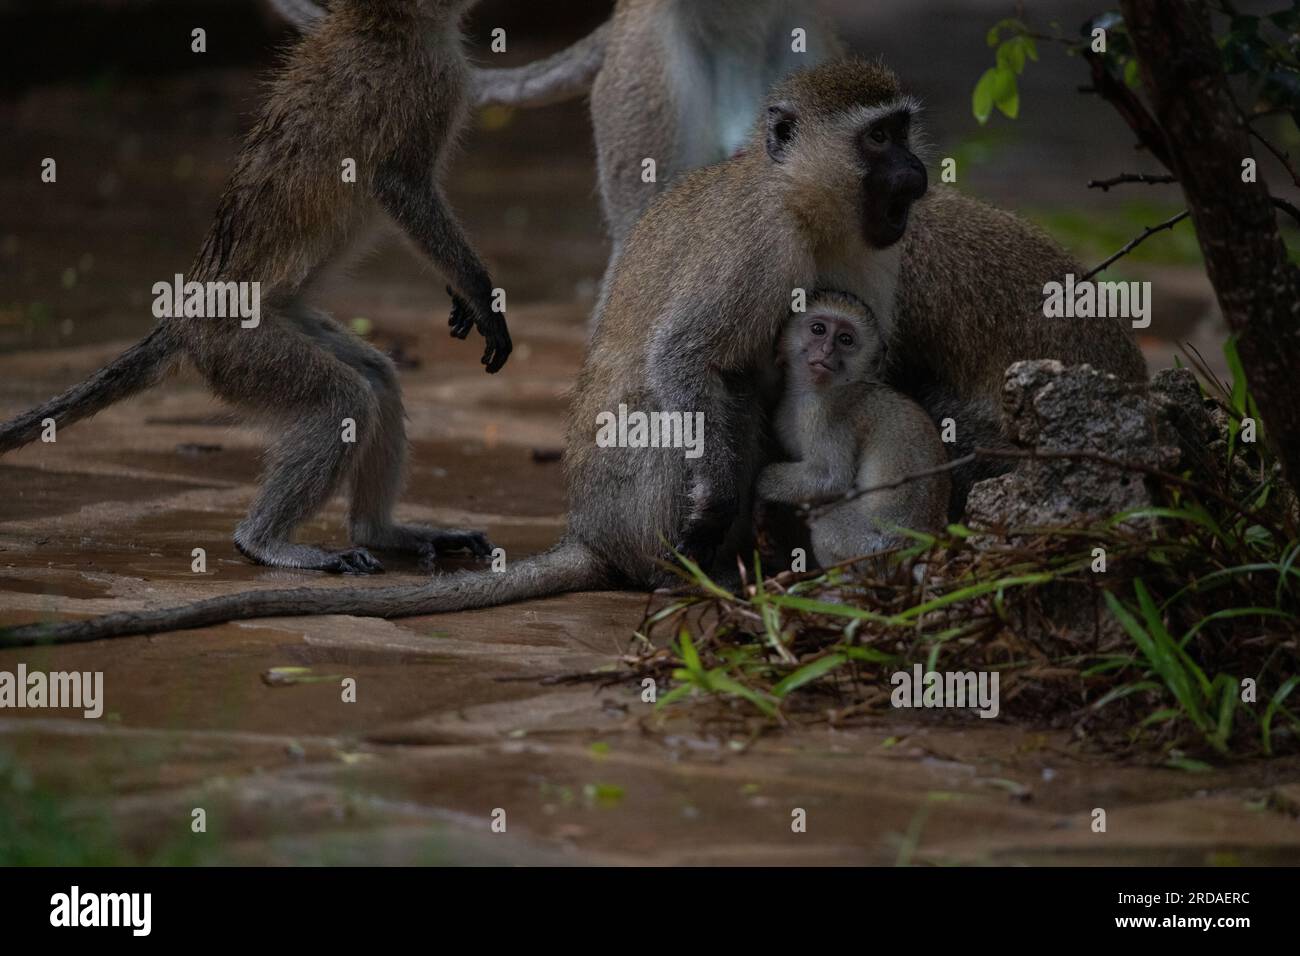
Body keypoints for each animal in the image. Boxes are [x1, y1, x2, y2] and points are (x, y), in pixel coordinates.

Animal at [0, 0, 511, 575]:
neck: (385, 24)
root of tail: (187, 317)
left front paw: (464, 298)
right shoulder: (427, 87)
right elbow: (403, 187)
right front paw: (481, 293)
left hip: (274, 326)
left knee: (377, 378)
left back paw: (378, 531)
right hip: (237, 349)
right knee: (342, 399)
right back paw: (264, 542)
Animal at [758, 291, 949, 567]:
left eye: (846, 340)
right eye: (818, 329)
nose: (826, 351)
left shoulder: (823, 413)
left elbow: (832, 477)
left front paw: (761, 487)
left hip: (871, 544)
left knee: (826, 528)